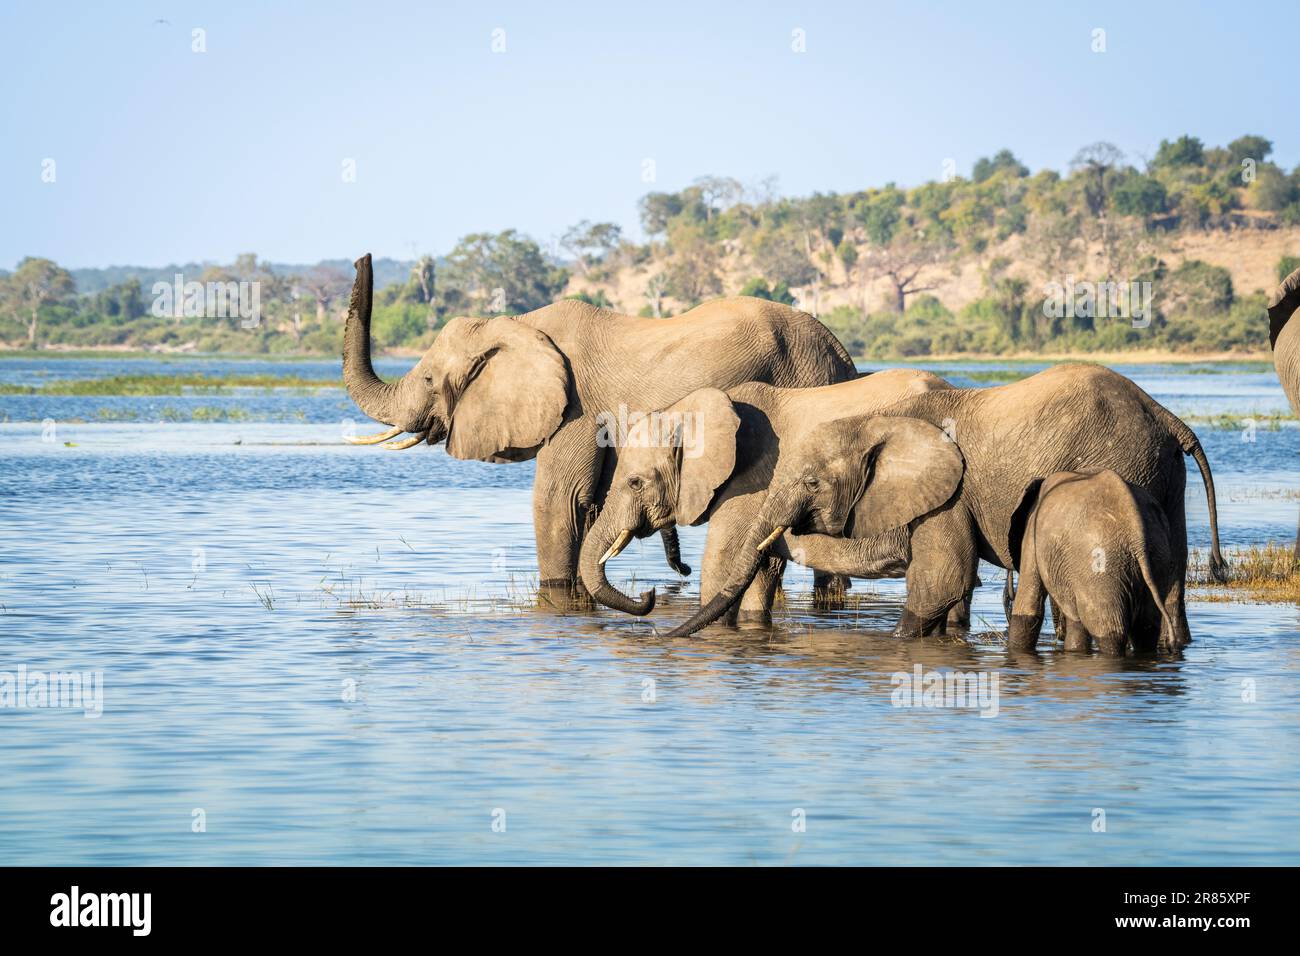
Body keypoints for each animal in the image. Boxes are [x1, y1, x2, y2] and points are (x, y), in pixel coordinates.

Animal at [340, 254, 859, 606]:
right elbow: (584, 504)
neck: (517, 324)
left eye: (429, 379)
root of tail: (842, 351)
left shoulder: (576, 409)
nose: (362, 258)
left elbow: (558, 499)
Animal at [1007, 470, 1177, 656]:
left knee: (1108, 630)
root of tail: (1136, 531)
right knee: (1145, 629)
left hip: (1100, 565)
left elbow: (1027, 607)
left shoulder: (1032, 534)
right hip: (1158, 554)